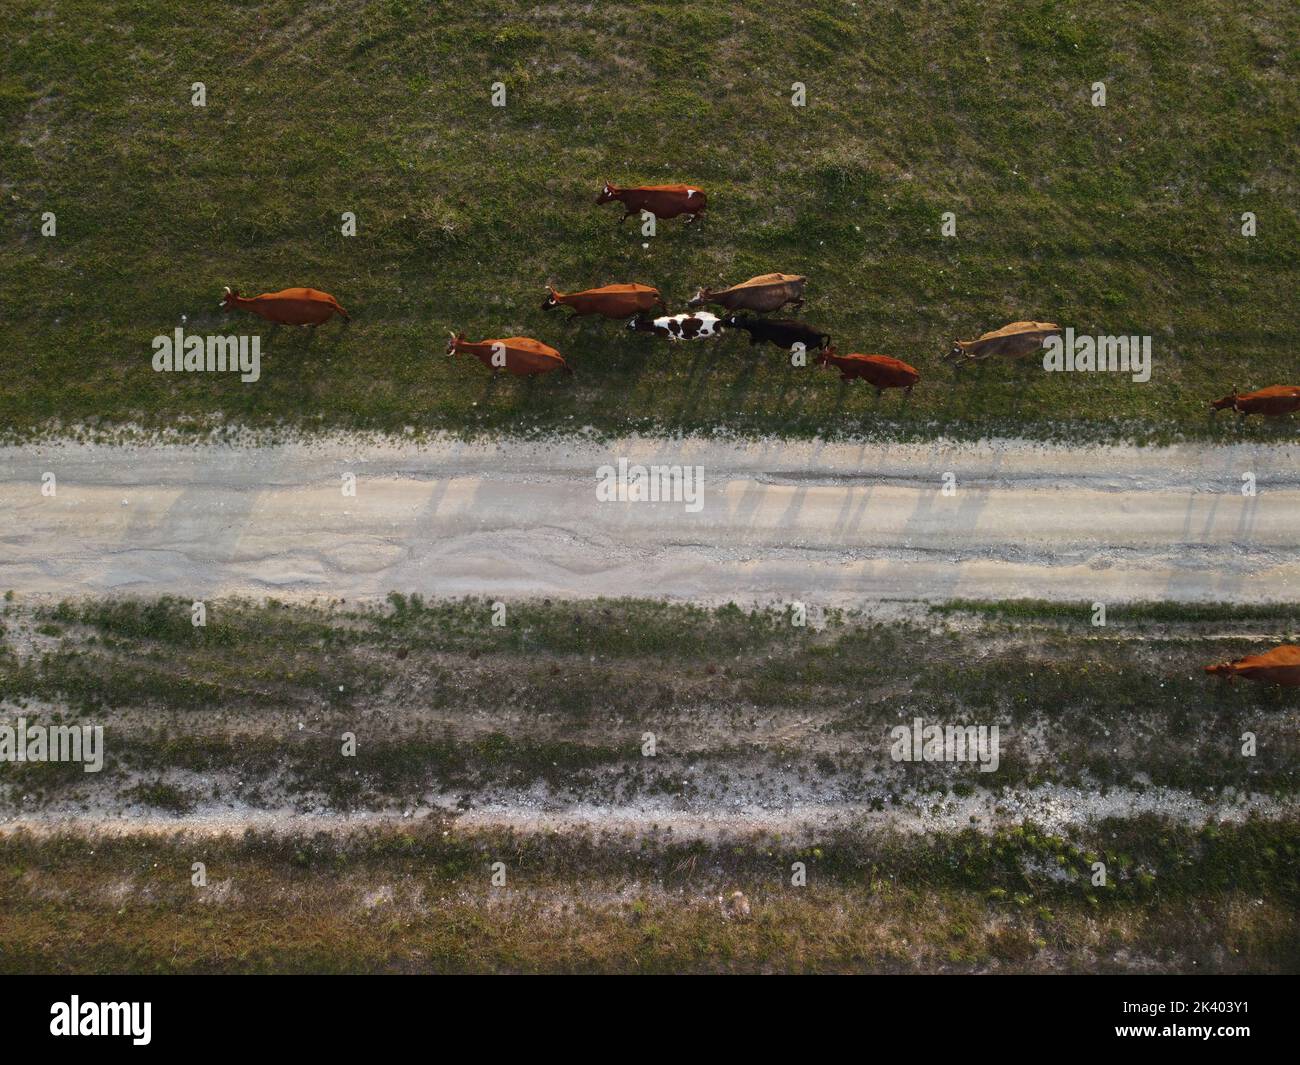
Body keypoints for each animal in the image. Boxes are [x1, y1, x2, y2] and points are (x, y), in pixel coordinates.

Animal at [219, 286, 349, 326]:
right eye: (224, 299)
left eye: (227, 301)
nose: (224, 310)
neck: (257, 304)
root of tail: (330, 303)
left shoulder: (275, 319)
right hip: (333, 301)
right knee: (343, 310)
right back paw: (347, 318)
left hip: (319, 318)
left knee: (316, 324)